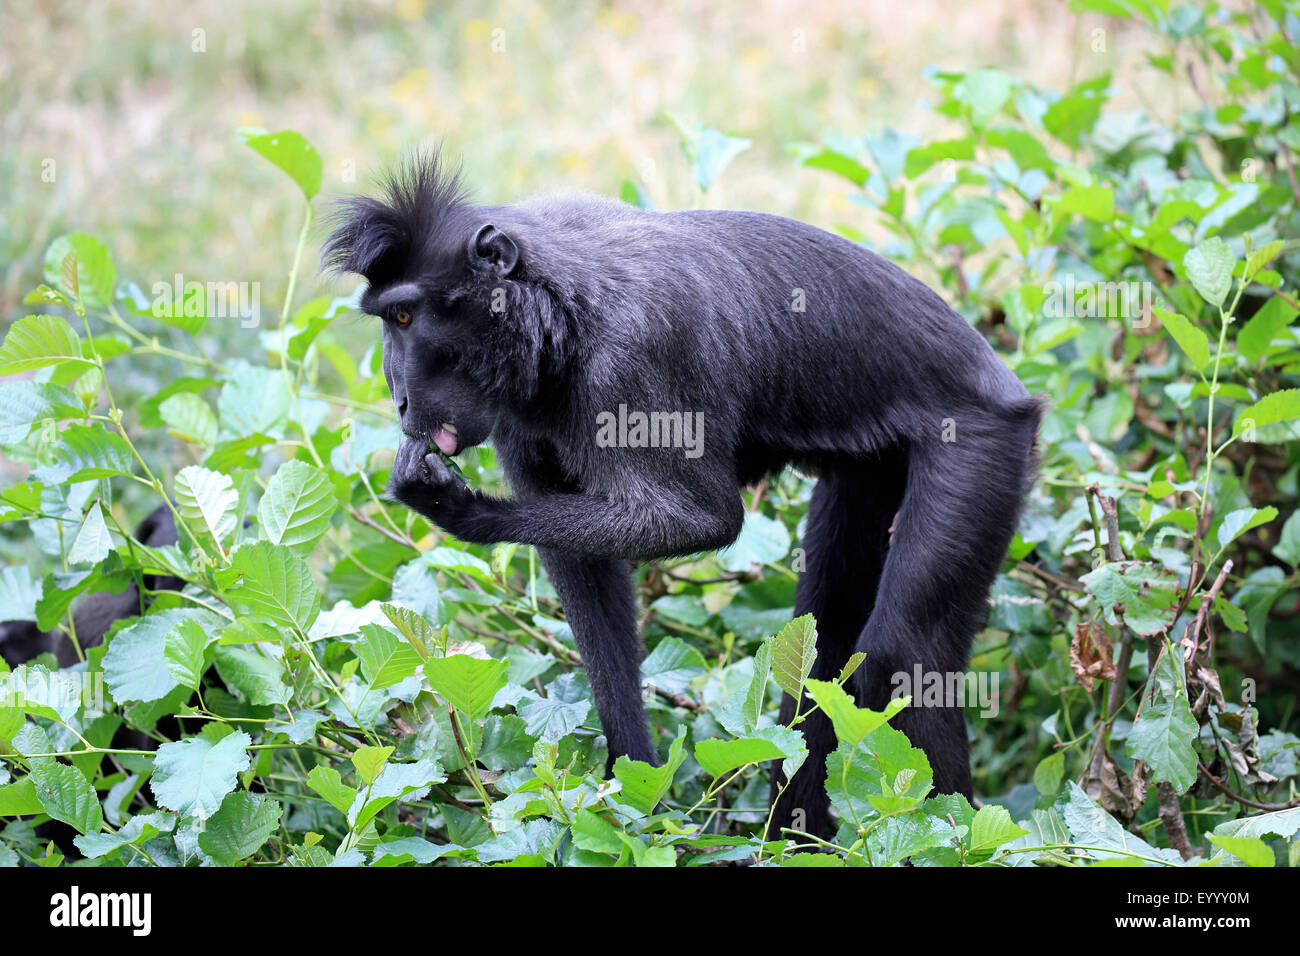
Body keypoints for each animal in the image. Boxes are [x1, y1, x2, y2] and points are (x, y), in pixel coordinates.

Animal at [323, 153, 1042, 840]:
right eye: (387, 318)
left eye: (406, 315)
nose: (399, 398)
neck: (556, 305)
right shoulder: (518, 414)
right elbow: (586, 575)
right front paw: (629, 787)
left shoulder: (635, 357)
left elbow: (703, 520)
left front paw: (459, 509)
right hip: (873, 467)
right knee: (825, 650)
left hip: (984, 443)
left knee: (902, 654)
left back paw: (954, 835)